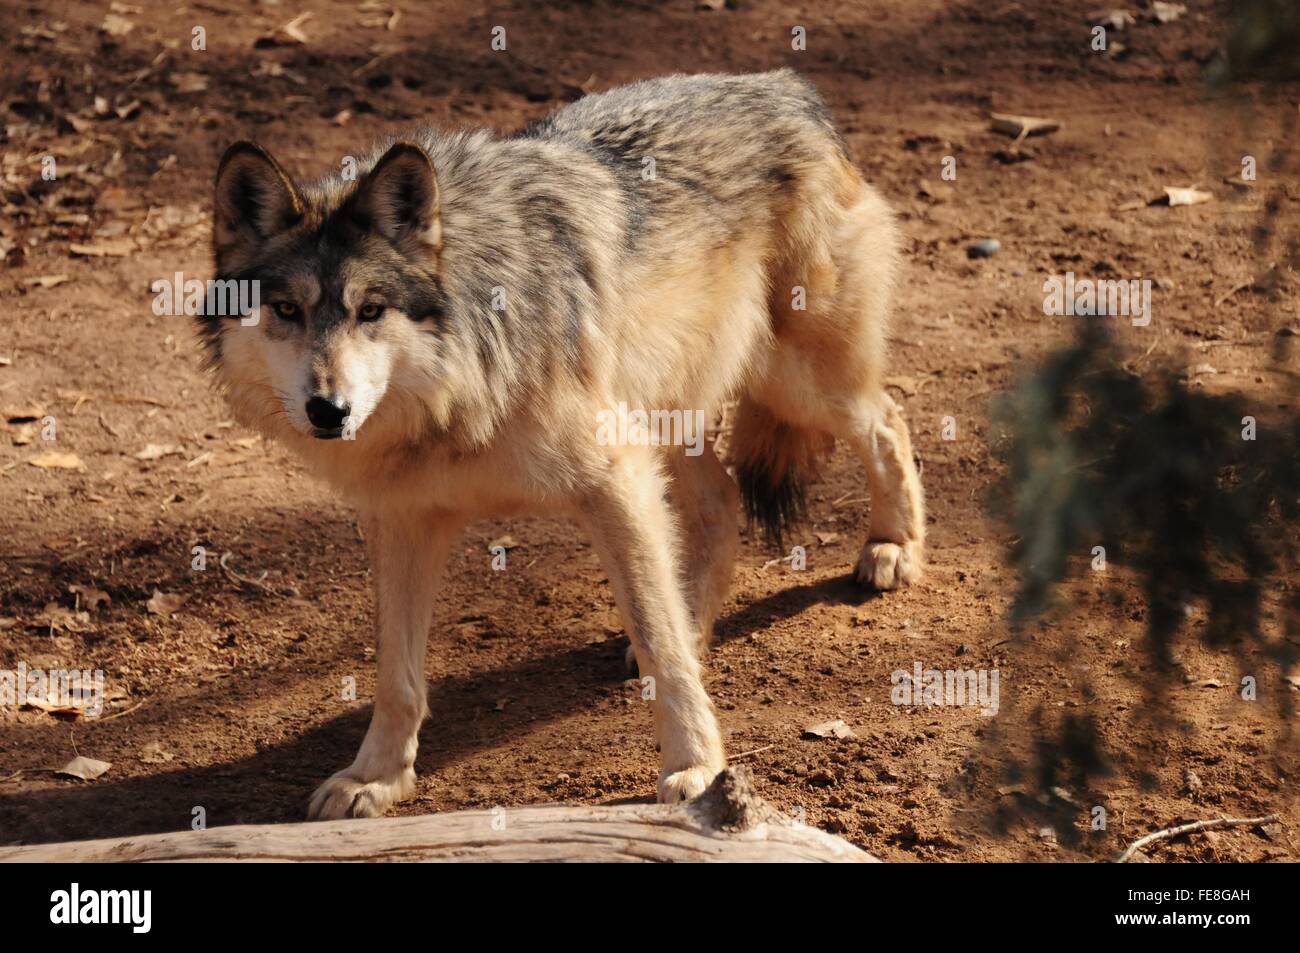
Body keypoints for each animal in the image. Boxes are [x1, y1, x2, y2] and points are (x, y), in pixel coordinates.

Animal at [202, 70, 926, 820]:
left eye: (370, 310)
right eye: (287, 310)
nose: (328, 409)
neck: (459, 388)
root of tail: (785, 86)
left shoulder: (613, 481)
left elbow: (660, 642)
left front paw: (696, 767)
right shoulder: (403, 518)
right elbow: (395, 676)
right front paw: (373, 777)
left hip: (798, 385)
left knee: (888, 421)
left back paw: (892, 548)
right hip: (666, 413)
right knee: (723, 503)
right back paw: (703, 618)